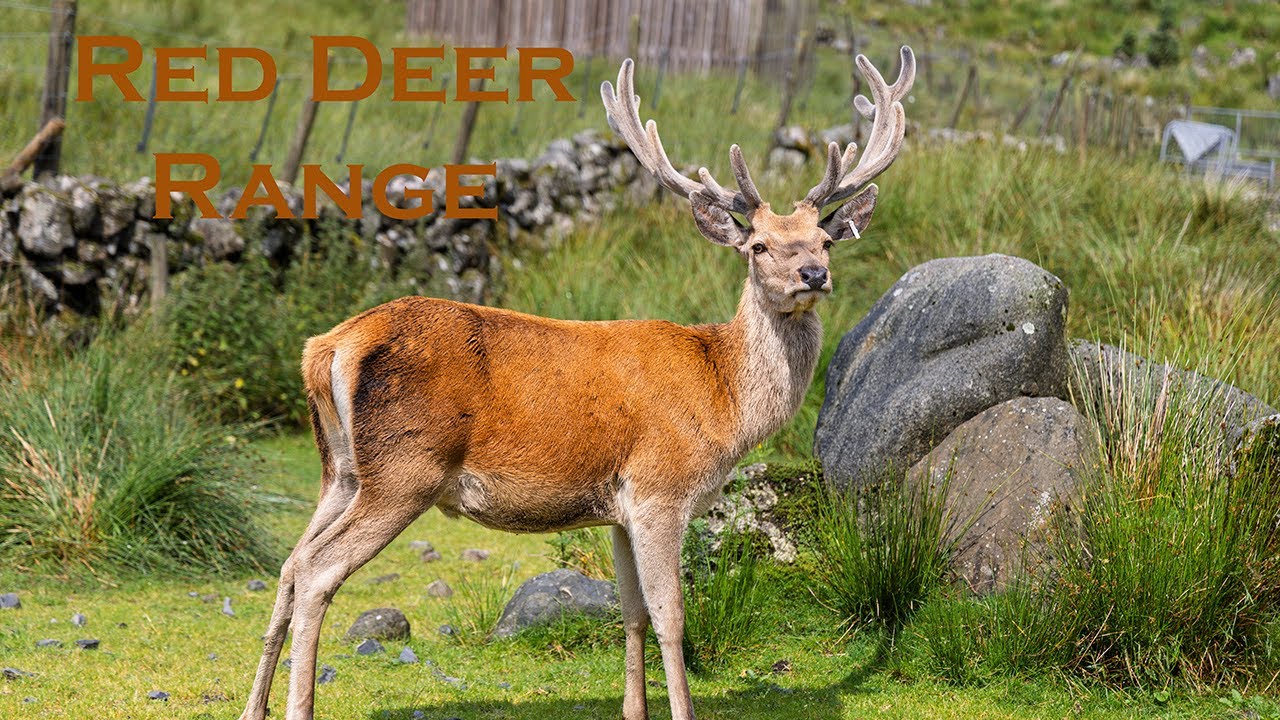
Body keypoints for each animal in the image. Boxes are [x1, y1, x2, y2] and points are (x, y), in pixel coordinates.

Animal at [239, 46, 914, 720]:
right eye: (757, 246)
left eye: (825, 239)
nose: (813, 274)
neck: (722, 397)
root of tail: (330, 347)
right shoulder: (660, 487)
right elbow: (671, 618)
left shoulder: (618, 508)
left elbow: (632, 615)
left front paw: (634, 709)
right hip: (406, 469)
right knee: (318, 569)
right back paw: (297, 706)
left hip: (341, 470)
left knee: (290, 563)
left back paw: (255, 707)